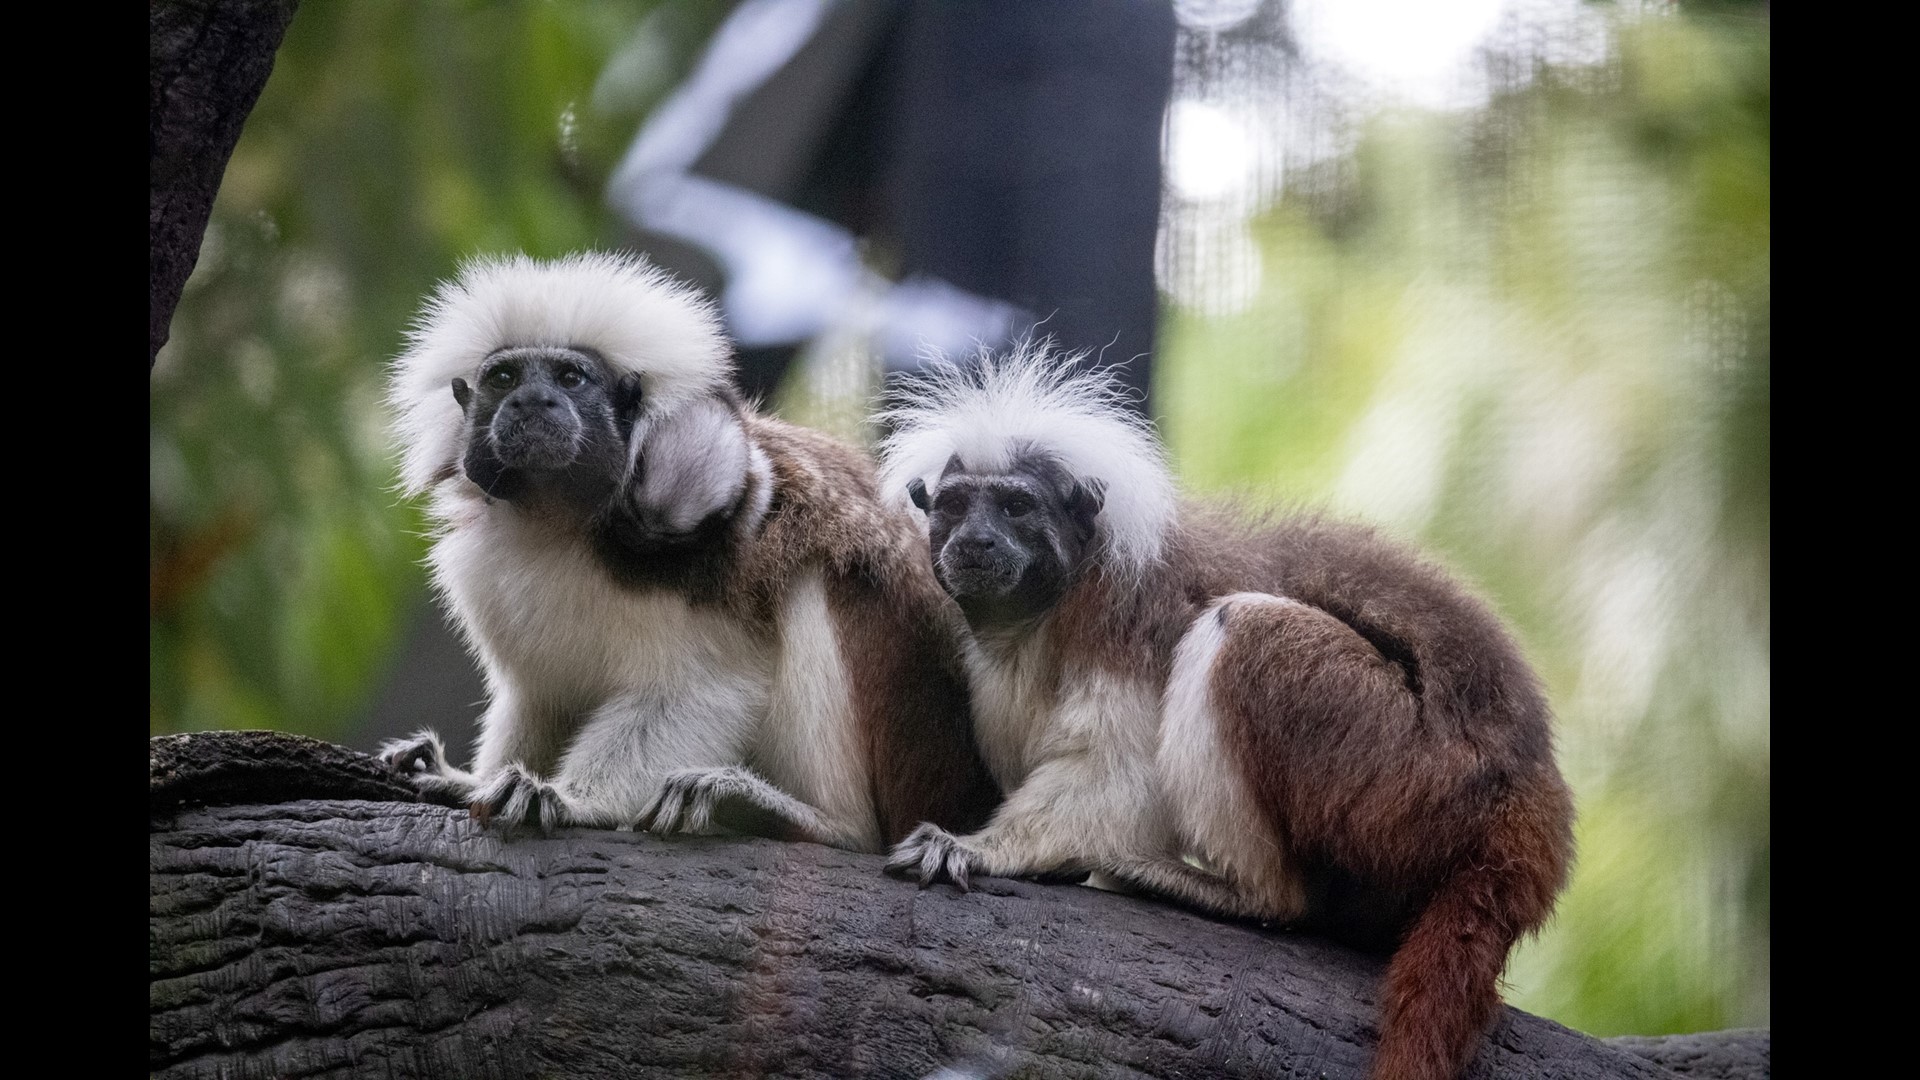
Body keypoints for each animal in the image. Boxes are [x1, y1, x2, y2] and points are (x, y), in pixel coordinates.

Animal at [378, 251, 998, 851]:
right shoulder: (486, 574)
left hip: (912, 755)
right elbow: (537, 698)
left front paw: (572, 800)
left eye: (570, 377)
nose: (532, 400)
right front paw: (469, 781)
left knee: (824, 576)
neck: (553, 527)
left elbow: (704, 690)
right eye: (503, 378)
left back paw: (809, 821)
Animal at [876, 349, 1575, 1080]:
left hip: (1412, 770)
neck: (1045, 613)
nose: (978, 542)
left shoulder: (1128, 614)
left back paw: (1245, 894)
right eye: (956, 507)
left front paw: (982, 849)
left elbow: (1118, 779)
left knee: (1242, 626)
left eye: (1015, 507)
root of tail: (1525, 784)